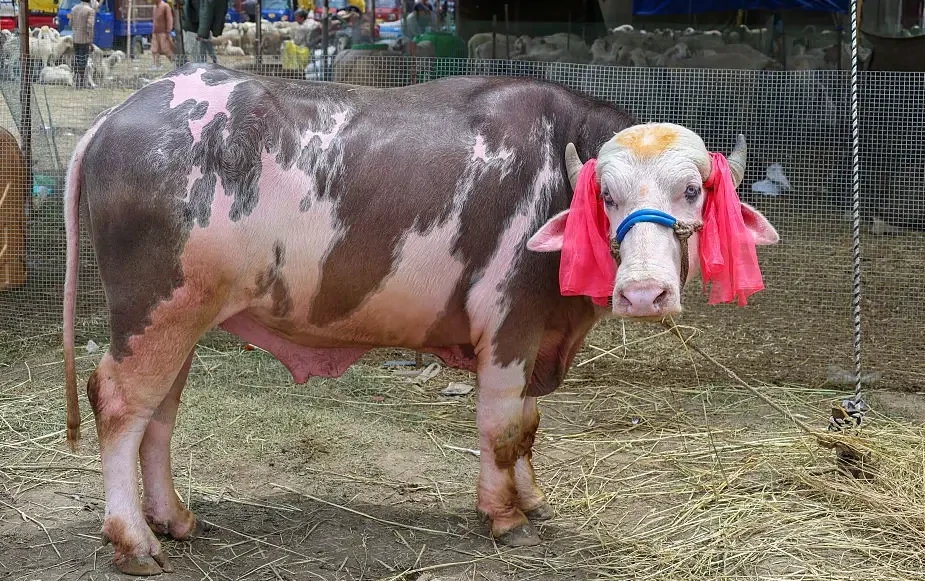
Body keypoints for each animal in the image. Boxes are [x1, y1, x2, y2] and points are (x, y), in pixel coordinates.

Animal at [62, 62, 780, 576]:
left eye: (692, 191)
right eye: (606, 196)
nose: (644, 292)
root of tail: (118, 116)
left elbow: (528, 426)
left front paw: (531, 498)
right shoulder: (509, 325)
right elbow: (500, 427)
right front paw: (503, 517)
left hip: (182, 317)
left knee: (159, 415)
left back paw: (174, 520)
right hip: (155, 310)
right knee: (120, 403)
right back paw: (134, 541)